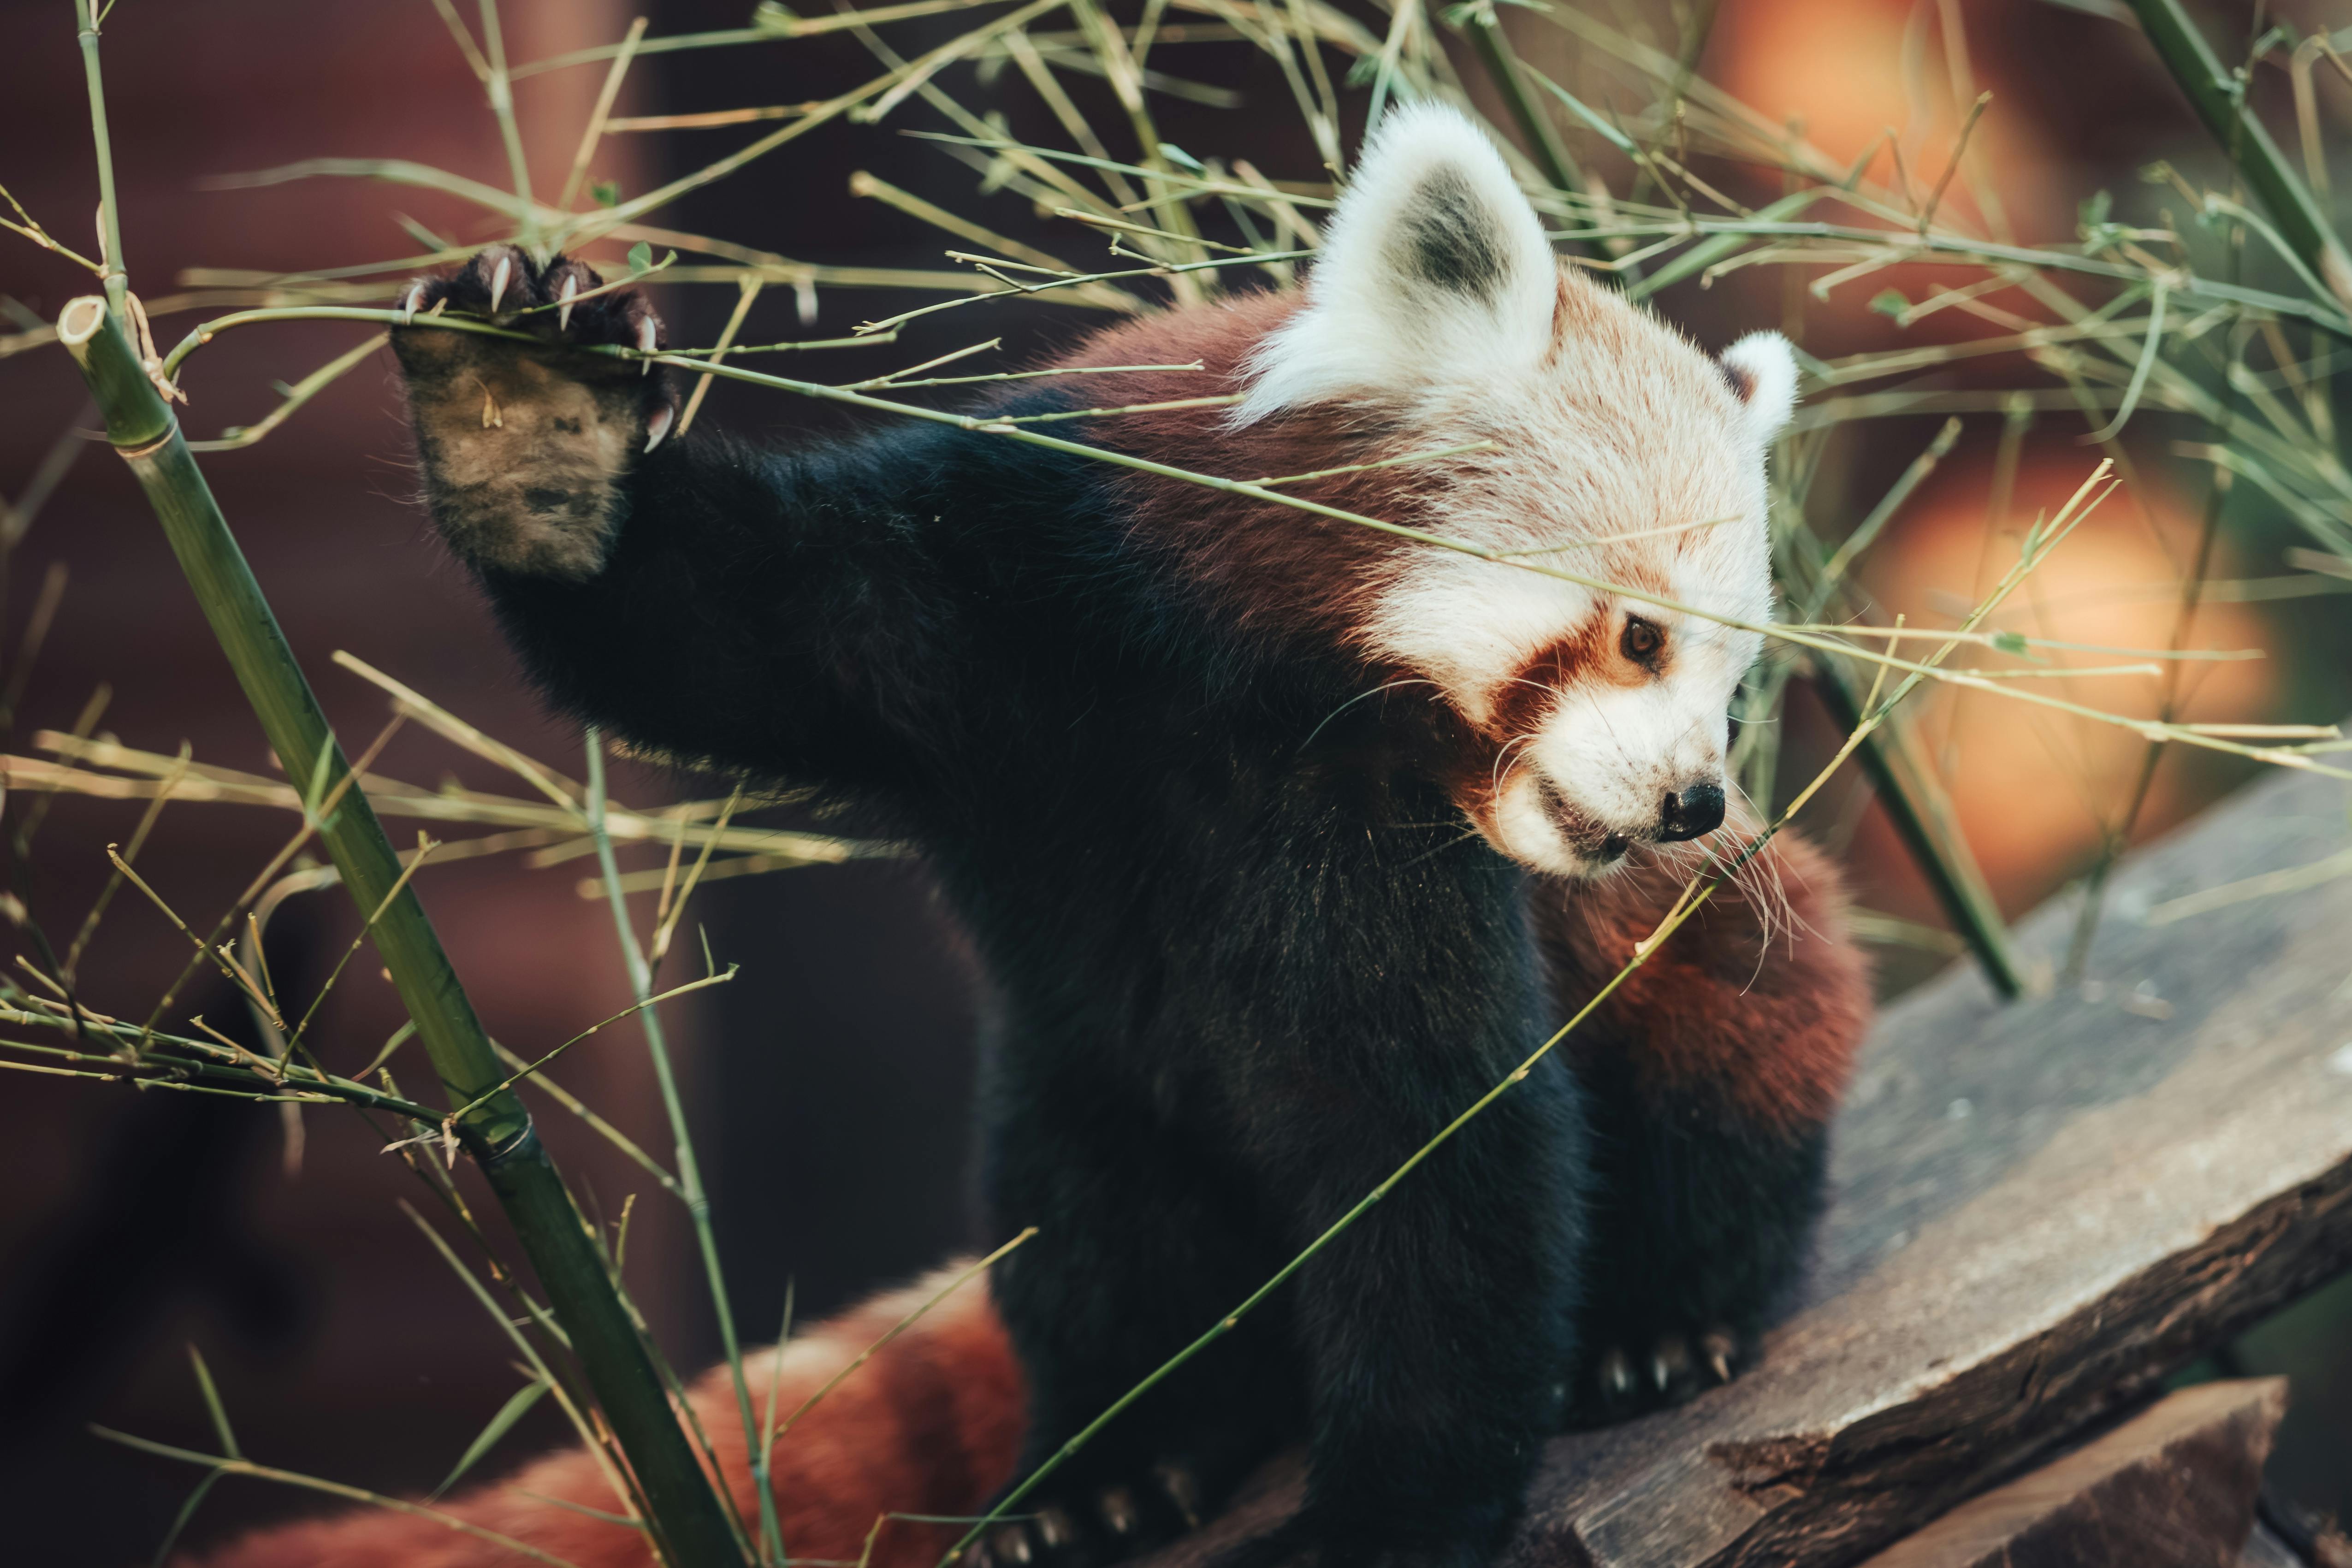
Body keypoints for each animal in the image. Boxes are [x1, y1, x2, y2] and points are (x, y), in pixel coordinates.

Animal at [195, 105, 1868, 1568]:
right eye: (1642, 638)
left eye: (1735, 683)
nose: (1693, 804)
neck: (1233, 684)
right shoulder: (995, 588)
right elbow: (720, 635)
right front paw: (529, 437)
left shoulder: (1390, 851)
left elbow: (1438, 1149)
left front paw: (1390, 1512)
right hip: (1068, 1095)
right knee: (1092, 1239)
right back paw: (1115, 1466)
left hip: (1742, 961)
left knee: (1739, 1069)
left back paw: (1662, 1326)